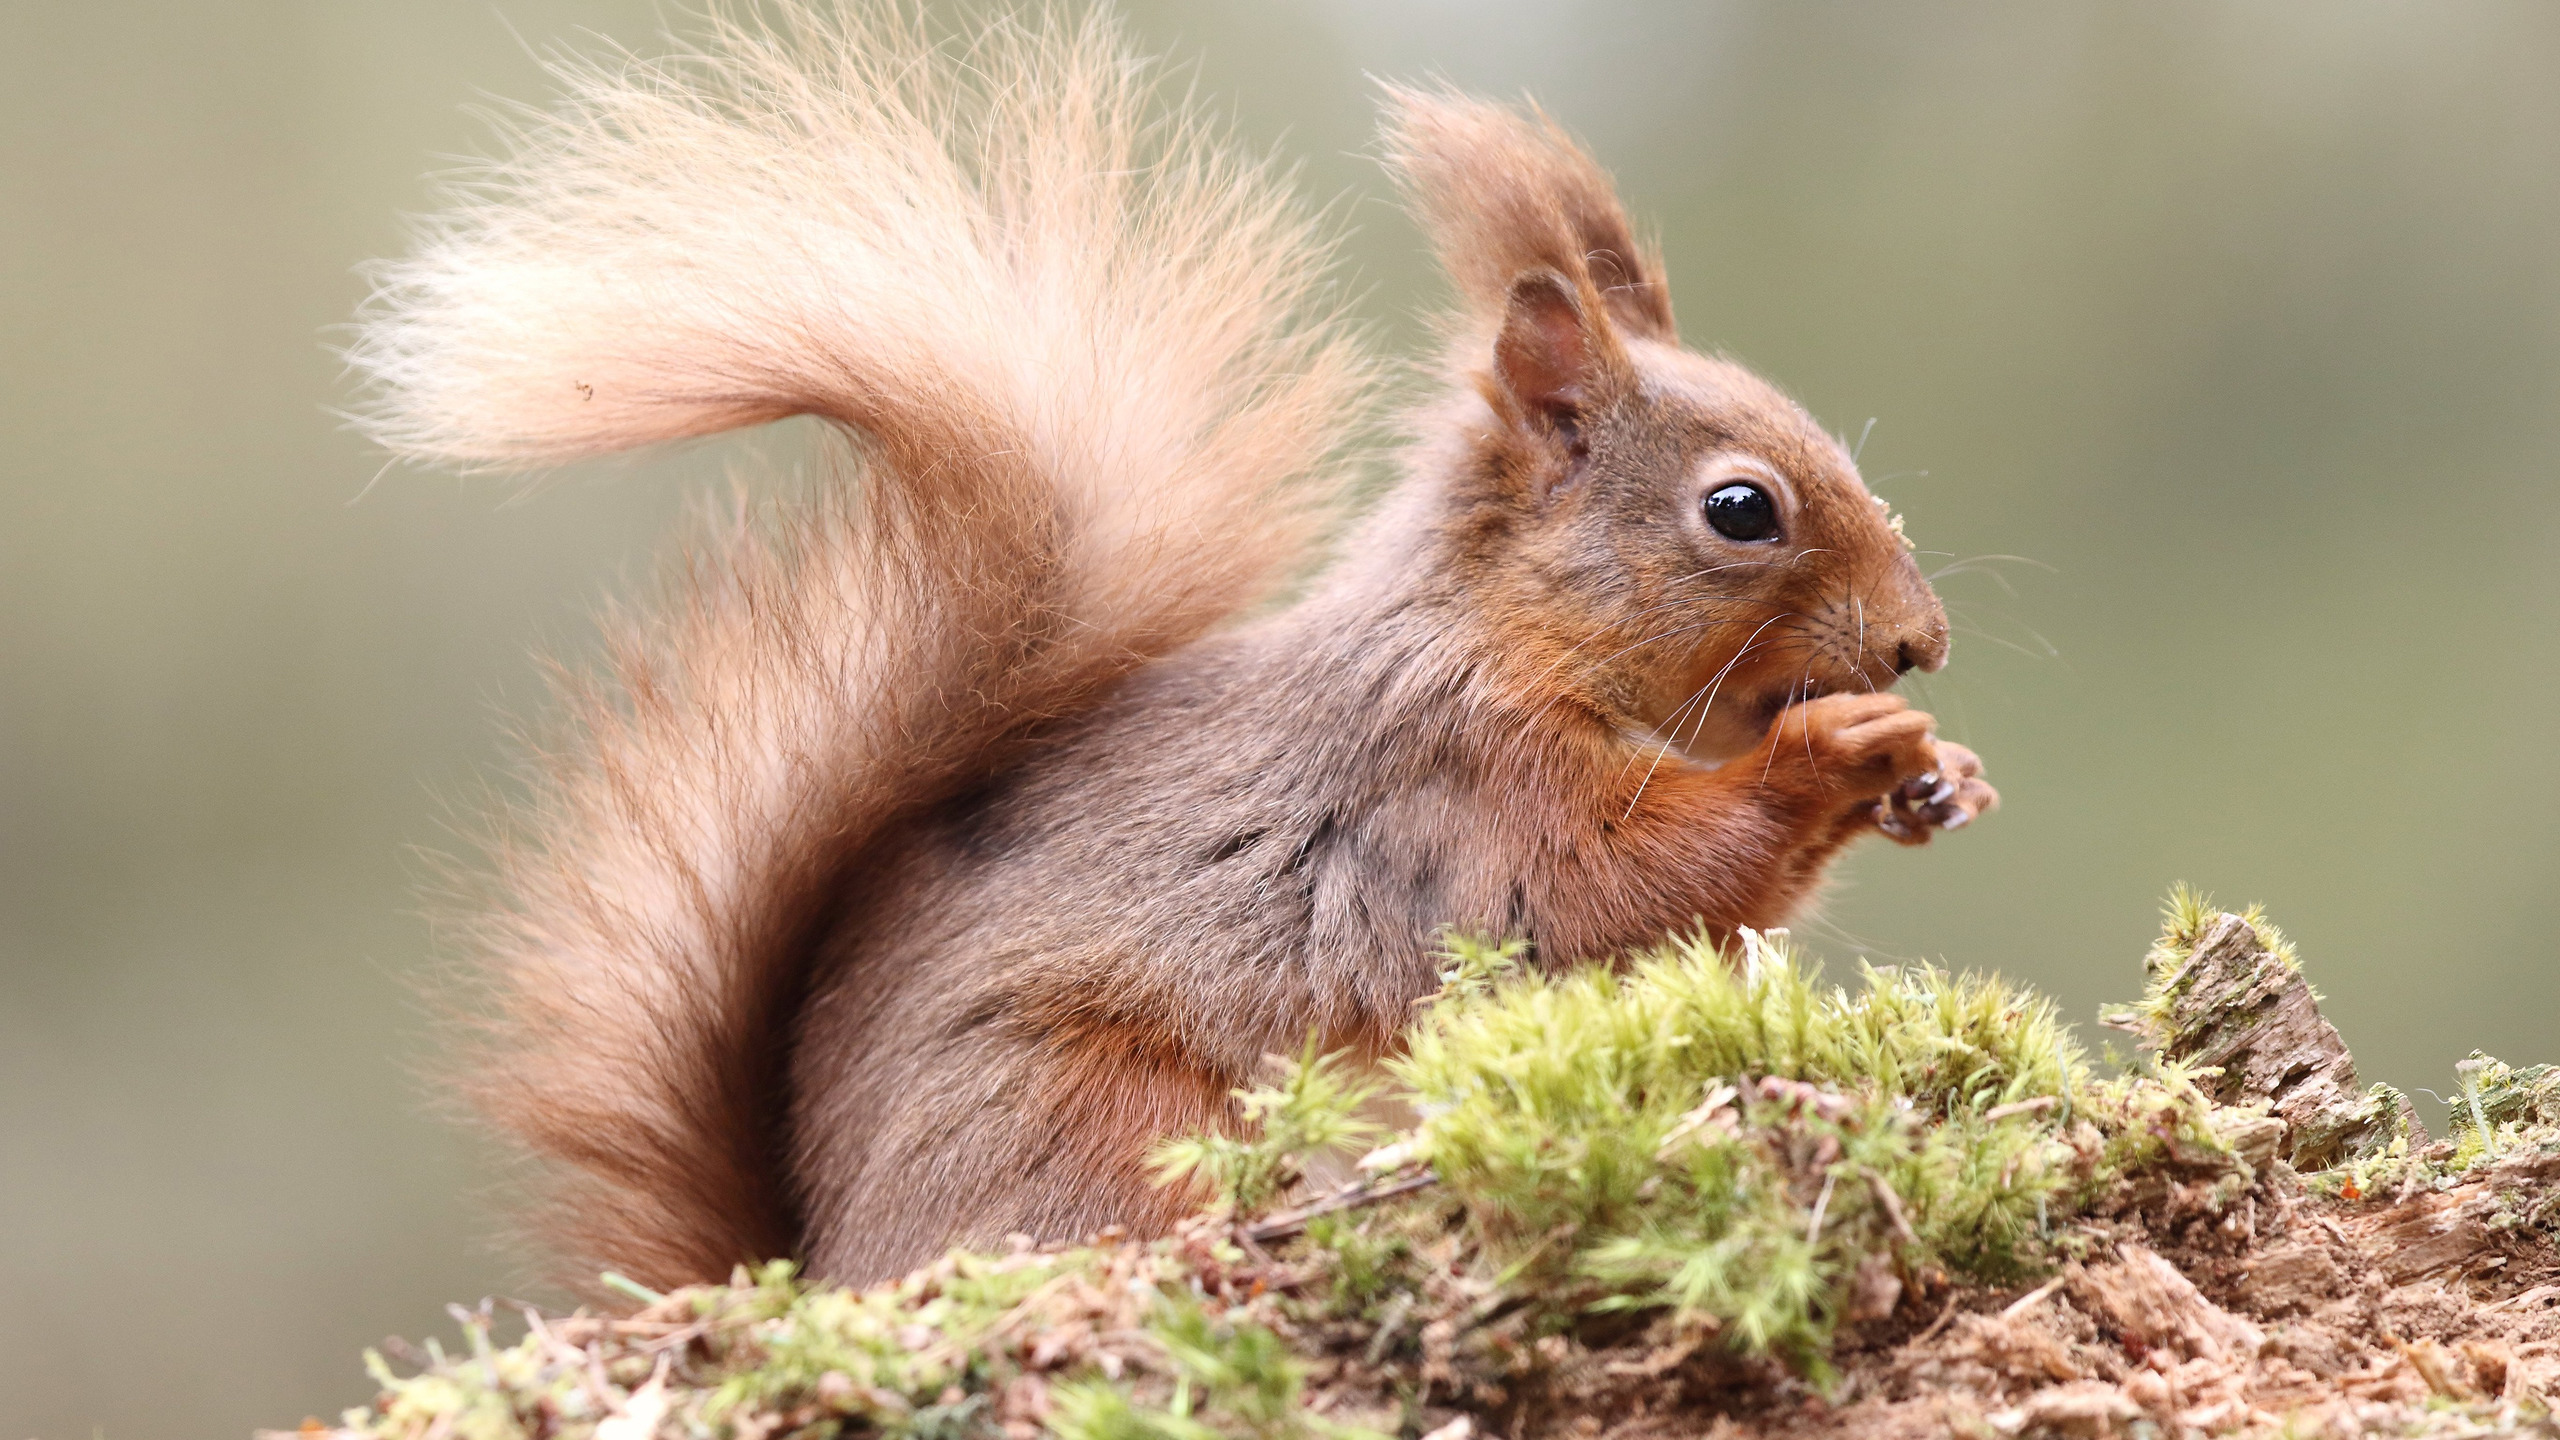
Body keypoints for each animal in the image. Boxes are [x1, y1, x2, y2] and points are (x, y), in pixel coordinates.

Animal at [351, 5, 1996, 1296]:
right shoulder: (1450, 786)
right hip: (1093, 1108)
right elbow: (1621, 892)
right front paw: (1834, 757)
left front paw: (1943, 780)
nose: (1920, 645)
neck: (1489, 630)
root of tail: (834, 1261)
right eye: (1740, 510)